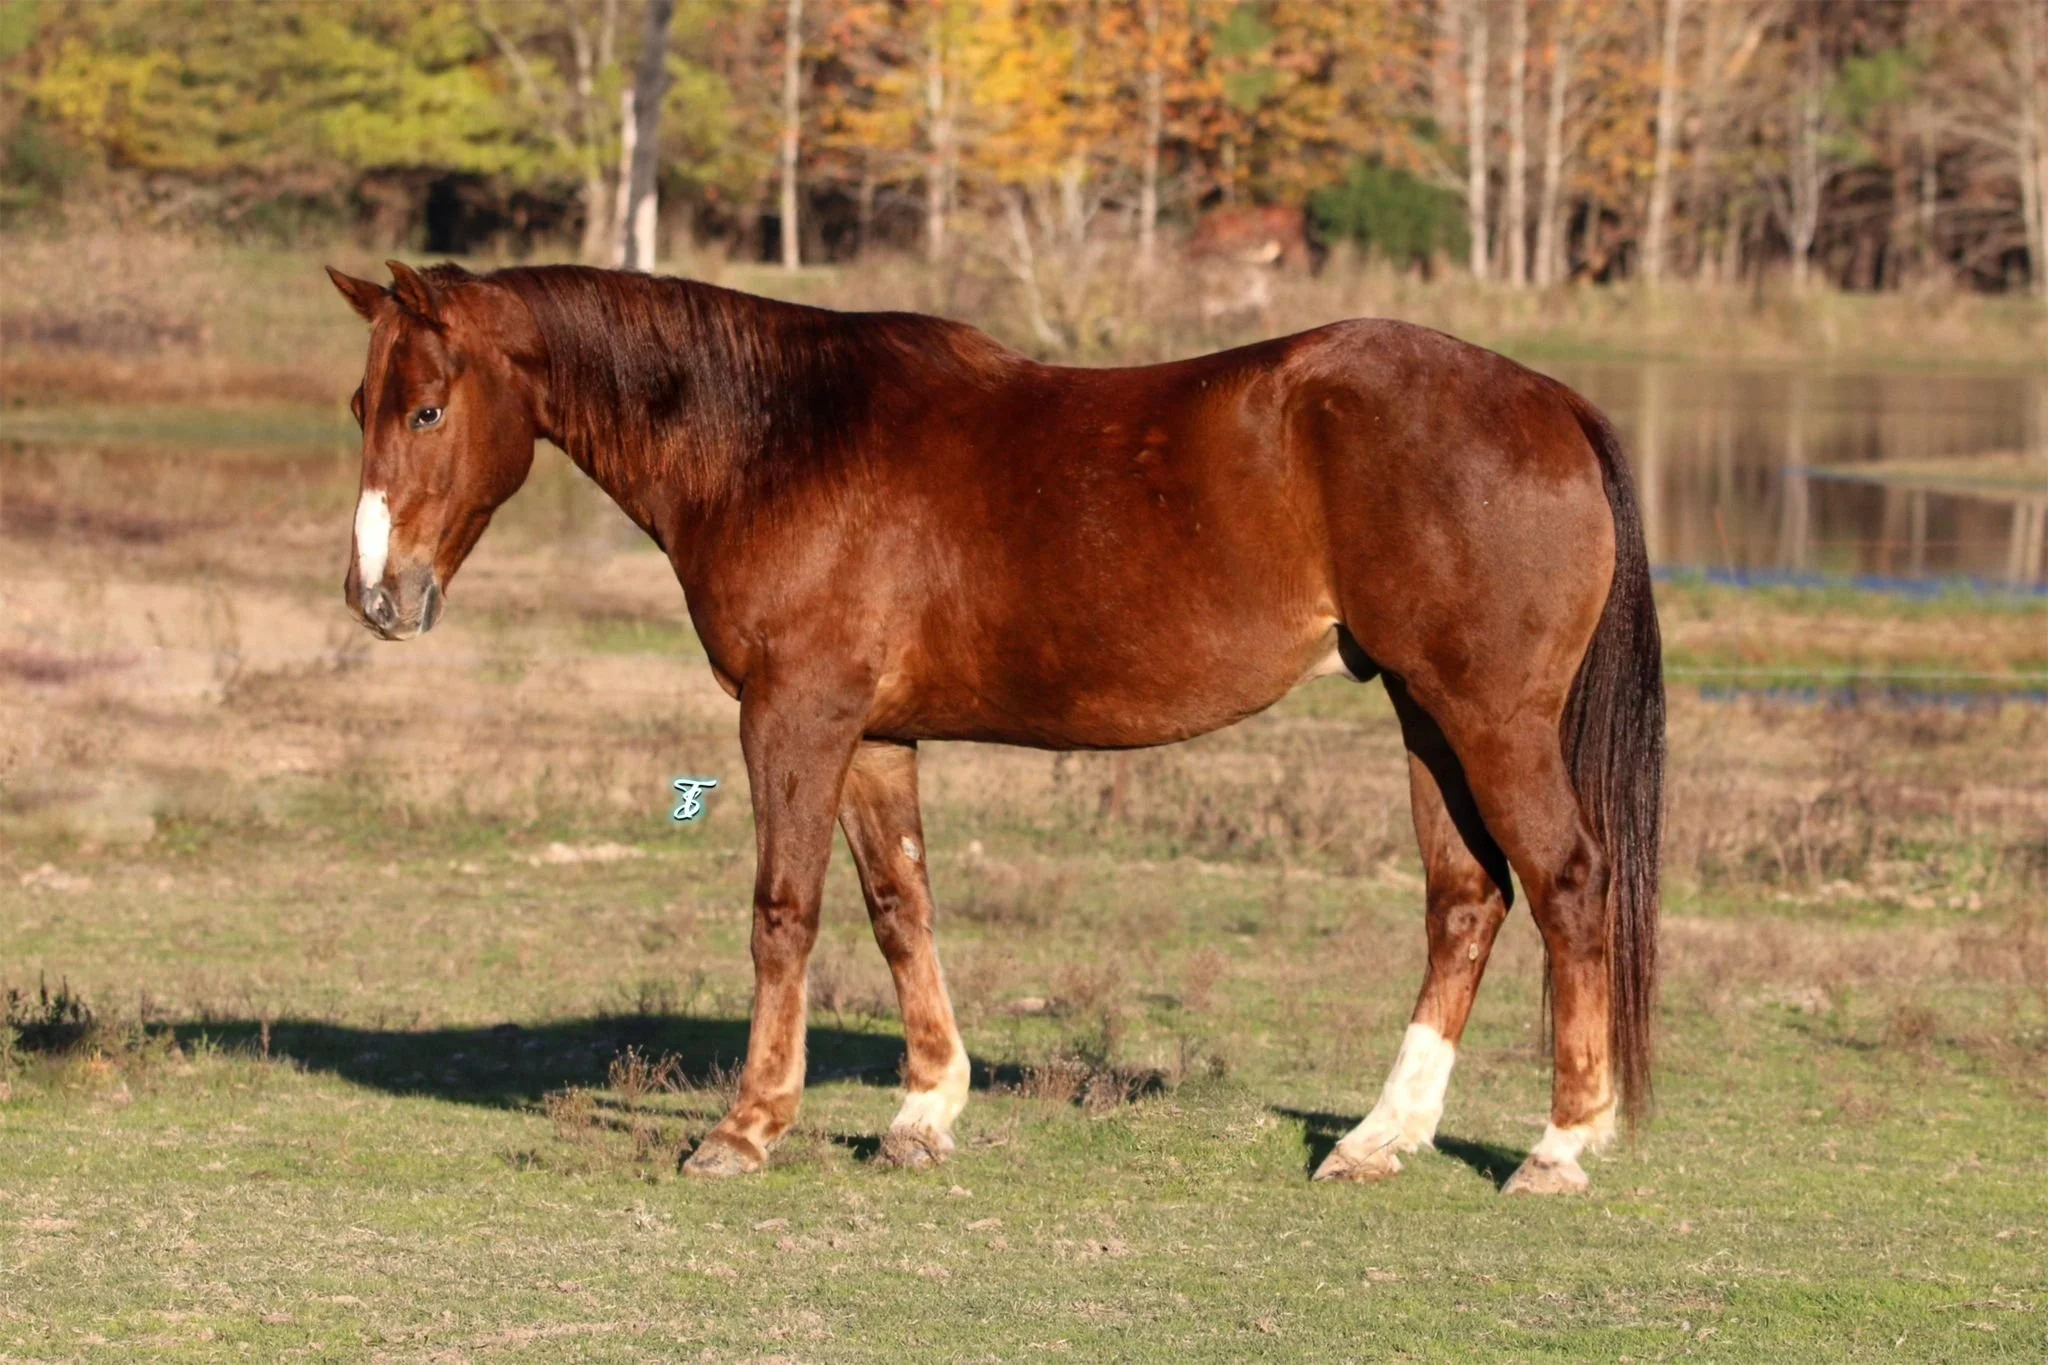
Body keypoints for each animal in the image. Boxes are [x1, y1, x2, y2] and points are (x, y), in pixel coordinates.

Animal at [325, 259, 1663, 1195]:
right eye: (360, 403)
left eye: (429, 411)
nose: (376, 597)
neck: (779, 438)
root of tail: (1551, 402)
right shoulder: (872, 737)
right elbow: (898, 908)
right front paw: (924, 1111)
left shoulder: (793, 718)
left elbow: (783, 914)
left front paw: (746, 1128)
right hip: (1421, 712)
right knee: (1465, 901)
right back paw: (1380, 1138)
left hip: (1487, 717)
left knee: (1565, 882)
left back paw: (1556, 1145)